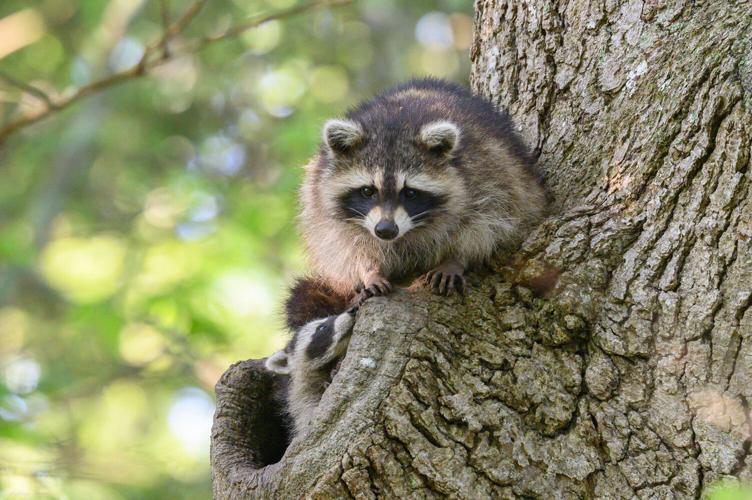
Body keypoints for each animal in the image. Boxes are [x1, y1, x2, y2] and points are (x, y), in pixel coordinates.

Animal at [300, 78, 547, 296]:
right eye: (368, 191)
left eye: (410, 193)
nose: (385, 230)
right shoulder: (321, 201)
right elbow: (345, 244)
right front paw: (369, 270)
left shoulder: (489, 176)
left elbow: (486, 224)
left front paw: (455, 257)